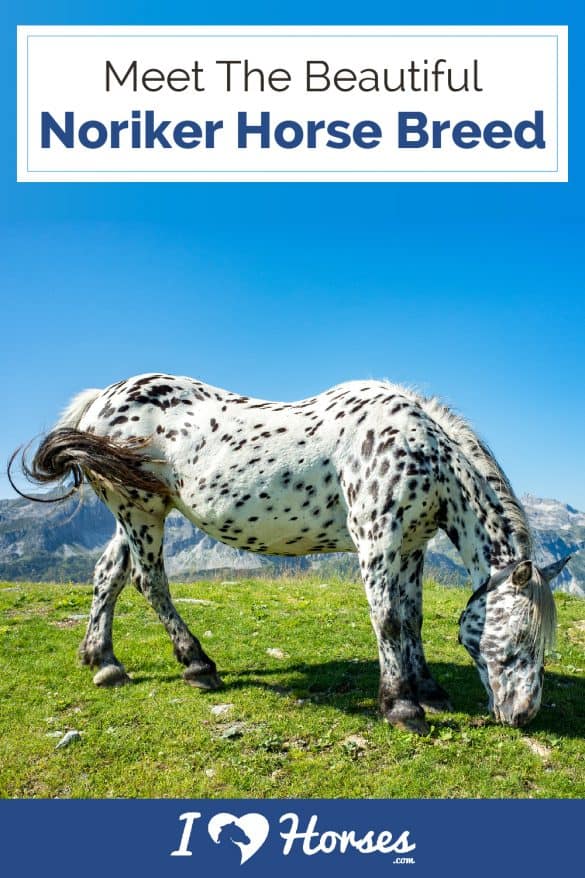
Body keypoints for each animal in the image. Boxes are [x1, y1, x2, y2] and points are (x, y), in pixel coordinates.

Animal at [9, 373, 570, 735]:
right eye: (517, 642)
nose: (523, 716)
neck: (418, 448)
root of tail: (100, 400)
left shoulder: (411, 546)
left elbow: (412, 618)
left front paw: (428, 689)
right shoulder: (378, 544)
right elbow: (388, 619)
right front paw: (401, 705)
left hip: (137, 512)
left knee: (109, 573)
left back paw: (103, 660)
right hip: (140, 510)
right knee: (150, 582)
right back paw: (197, 665)